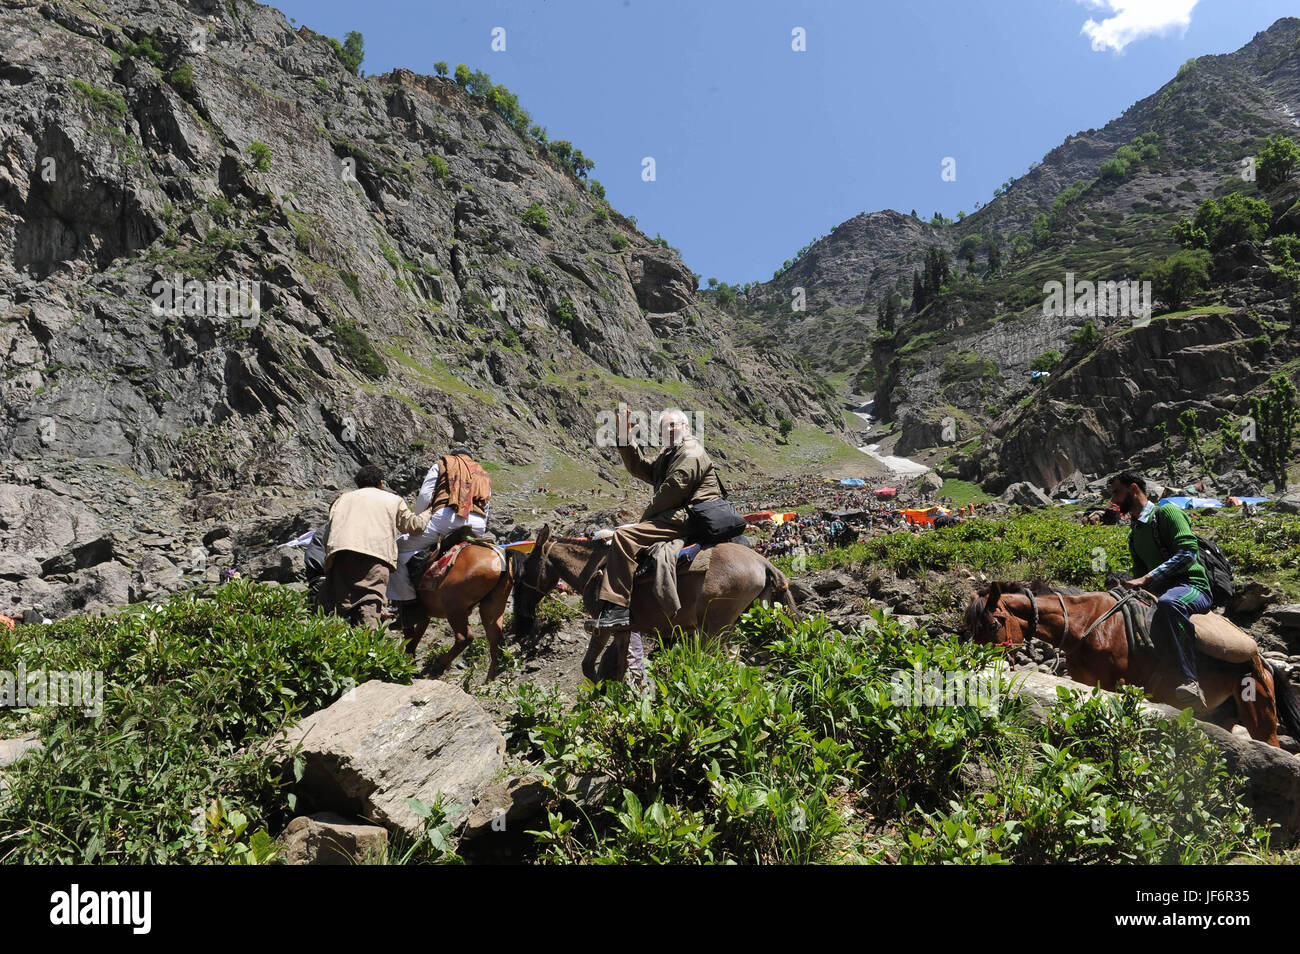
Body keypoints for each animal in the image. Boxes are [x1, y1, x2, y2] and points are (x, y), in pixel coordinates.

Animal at [399, 537, 514, 680]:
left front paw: (409, 666)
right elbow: (415, 638)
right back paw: (489, 680)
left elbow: (409, 638)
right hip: (491, 607)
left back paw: (439, 666)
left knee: (465, 637)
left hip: (454, 610)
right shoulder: (424, 615)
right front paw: (411, 665)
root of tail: (499, 559)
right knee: (495, 641)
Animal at [512, 524, 799, 682]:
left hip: (714, 628)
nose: (522, 618)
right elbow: (619, 666)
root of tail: (762, 561)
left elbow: (588, 666)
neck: (594, 570)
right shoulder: (624, 630)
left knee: (723, 659)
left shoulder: (602, 628)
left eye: (523, 573)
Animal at [963, 580, 1300, 747]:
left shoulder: (1115, 686)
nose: (980, 668)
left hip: (1259, 714)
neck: (1087, 624)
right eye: (971, 629)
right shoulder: (1086, 683)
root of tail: (1262, 660)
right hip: (1224, 716)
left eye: (993, 624)